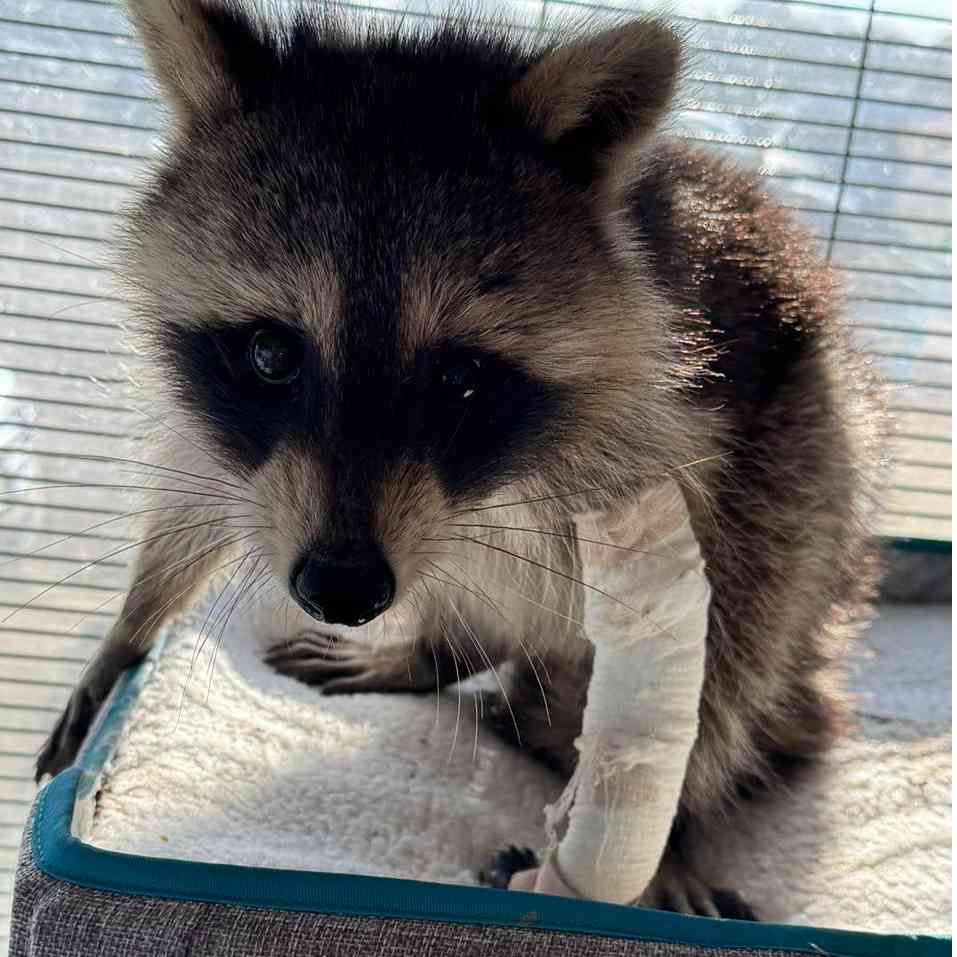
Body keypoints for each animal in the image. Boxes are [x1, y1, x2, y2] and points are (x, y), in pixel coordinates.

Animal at [36, 0, 884, 918]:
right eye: (269, 353)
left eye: (460, 378)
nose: (343, 589)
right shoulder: (242, 440)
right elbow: (205, 483)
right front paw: (132, 620)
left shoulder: (685, 414)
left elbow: (702, 633)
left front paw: (662, 821)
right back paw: (444, 648)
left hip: (806, 443)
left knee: (754, 609)